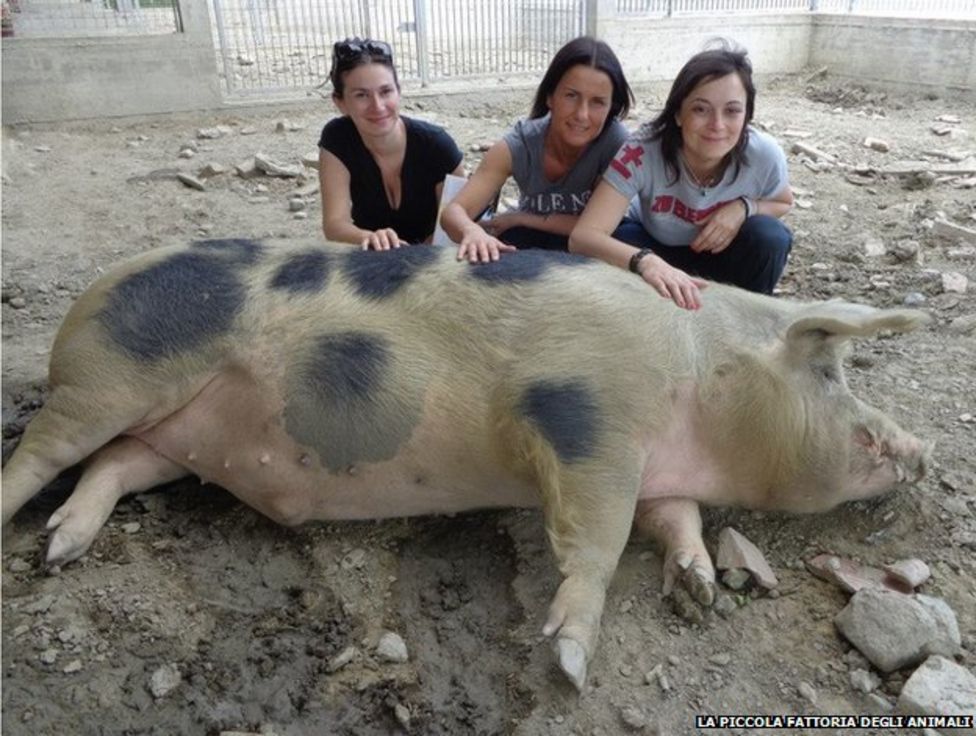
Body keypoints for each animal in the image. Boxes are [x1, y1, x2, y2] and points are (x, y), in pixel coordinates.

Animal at [1, 238, 930, 689]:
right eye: (831, 373)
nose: (921, 448)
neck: (701, 370)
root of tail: (91, 292)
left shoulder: (656, 466)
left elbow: (676, 517)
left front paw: (700, 593)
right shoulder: (583, 416)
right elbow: (598, 538)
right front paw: (569, 666)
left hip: (180, 437)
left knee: (114, 465)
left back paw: (62, 549)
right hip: (109, 378)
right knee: (39, 452)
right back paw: (29, 535)